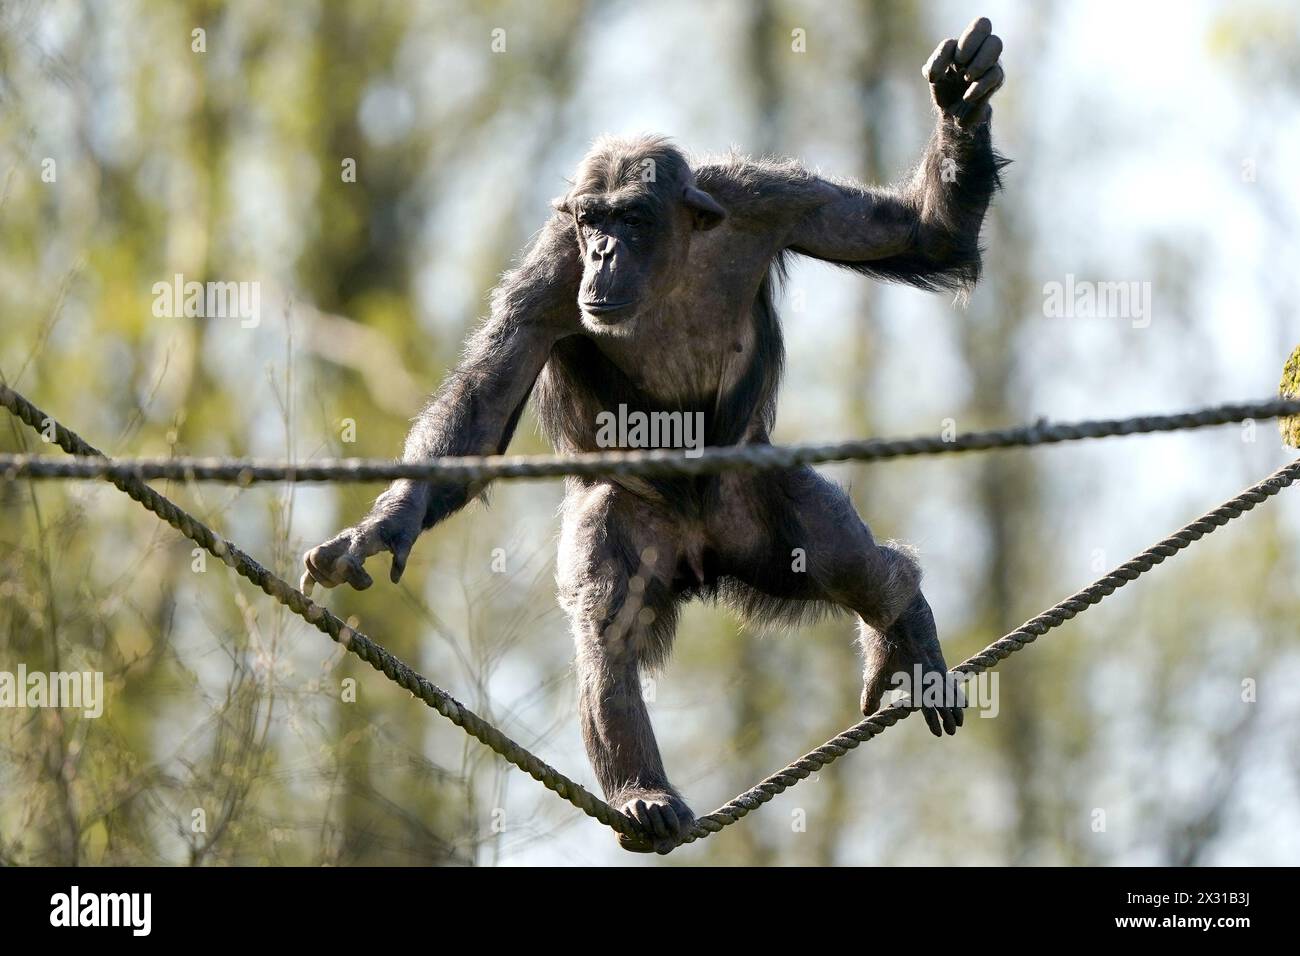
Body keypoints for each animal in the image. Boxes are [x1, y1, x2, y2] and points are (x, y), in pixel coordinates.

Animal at [302, 18, 1006, 853]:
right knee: (610, 622)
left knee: (847, 557)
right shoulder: (550, 271)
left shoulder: (771, 199)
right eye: (593, 220)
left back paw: (909, 634)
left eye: (631, 217)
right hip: (631, 519)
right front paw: (385, 524)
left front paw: (960, 101)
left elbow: (919, 237)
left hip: (758, 499)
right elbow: (481, 402)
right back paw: (644, 794)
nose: (606, 251)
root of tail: (703, 559)